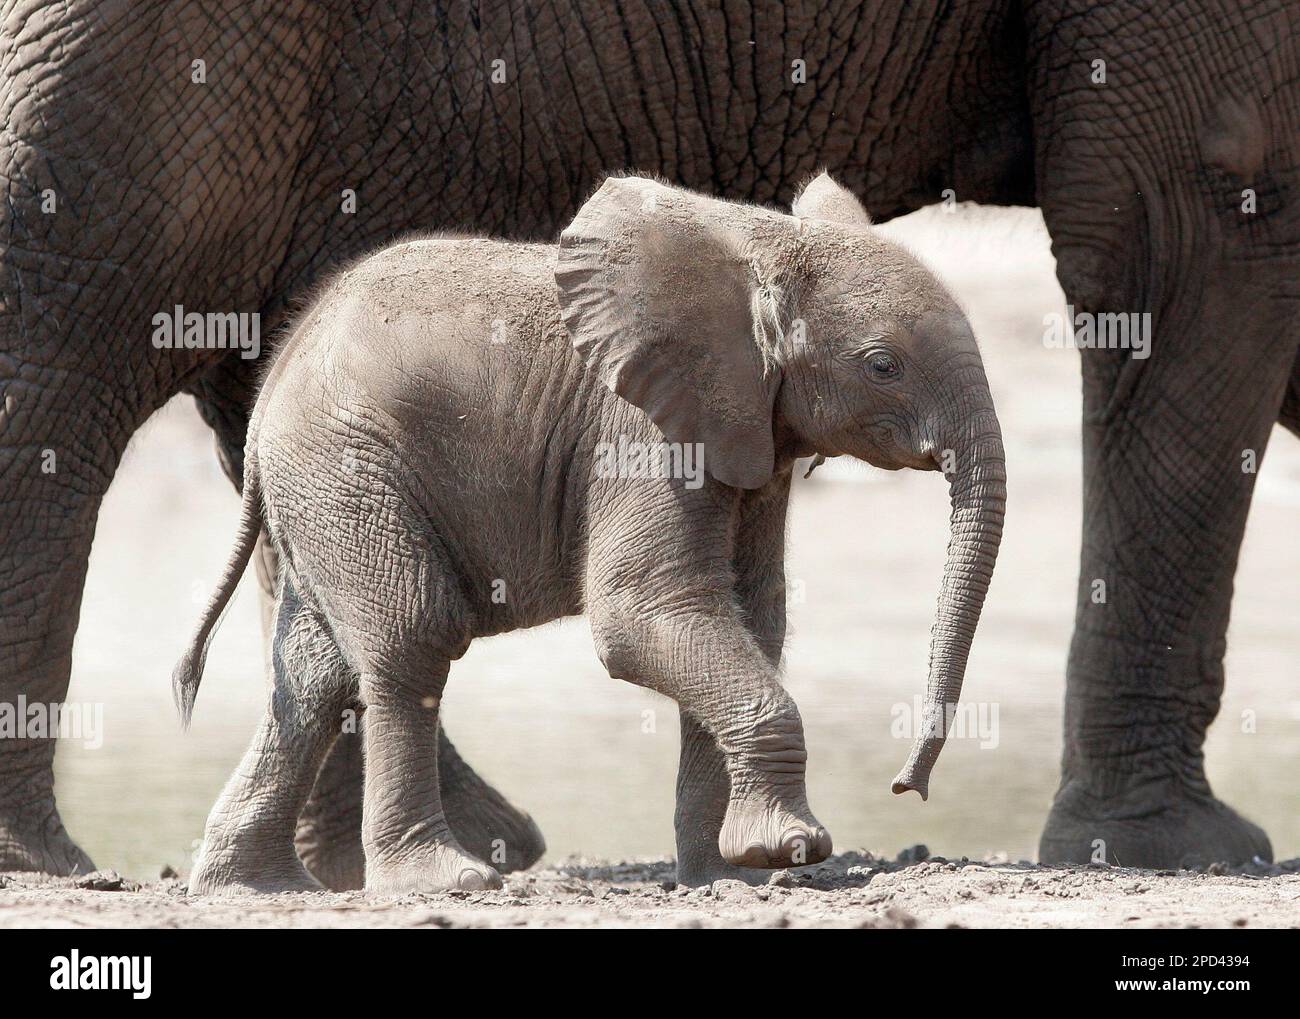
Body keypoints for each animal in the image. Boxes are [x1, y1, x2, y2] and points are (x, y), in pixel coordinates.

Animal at [170, 173, 1006, 894]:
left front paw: (728, 875)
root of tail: (271, 389)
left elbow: (745, 614)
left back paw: (253, 886)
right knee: (411, 638)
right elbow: (648, 613)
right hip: (349, 468)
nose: (905, 784)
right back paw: (447, 880)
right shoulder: (640, 430)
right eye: (883, 365)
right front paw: (786, 849)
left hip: (324, 491)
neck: (757, 242)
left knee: (316, 676)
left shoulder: (749, 428)